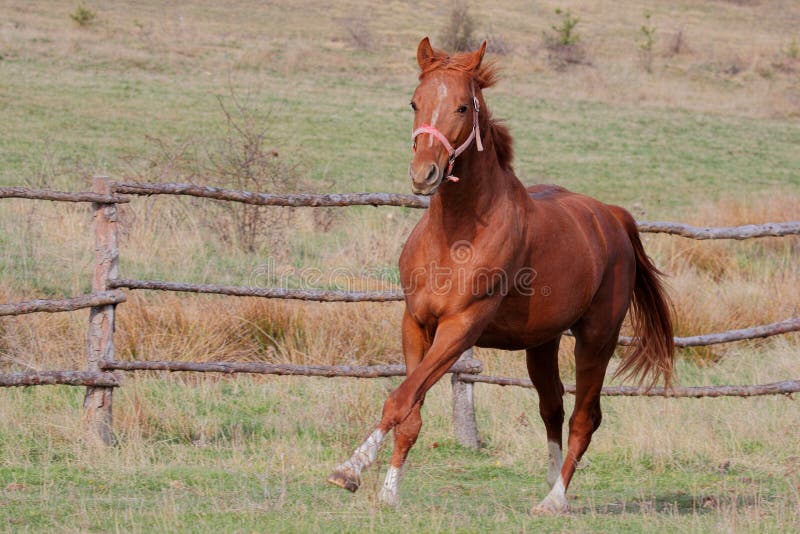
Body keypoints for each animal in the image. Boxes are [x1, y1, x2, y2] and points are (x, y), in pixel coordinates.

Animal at [328, 37, 674, 514]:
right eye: (414, 102)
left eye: (461, 107)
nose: (424, 174)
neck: (456, 235)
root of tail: (612, 217)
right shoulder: (416, 323)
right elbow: (410, 409)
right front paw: (388, 491)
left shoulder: (461, 327)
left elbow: (400, 398)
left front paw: (350, 470)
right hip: (543, 343)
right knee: (552, 407)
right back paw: (549, 483)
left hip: (596, 338)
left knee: (585, 417)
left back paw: (554, 500)